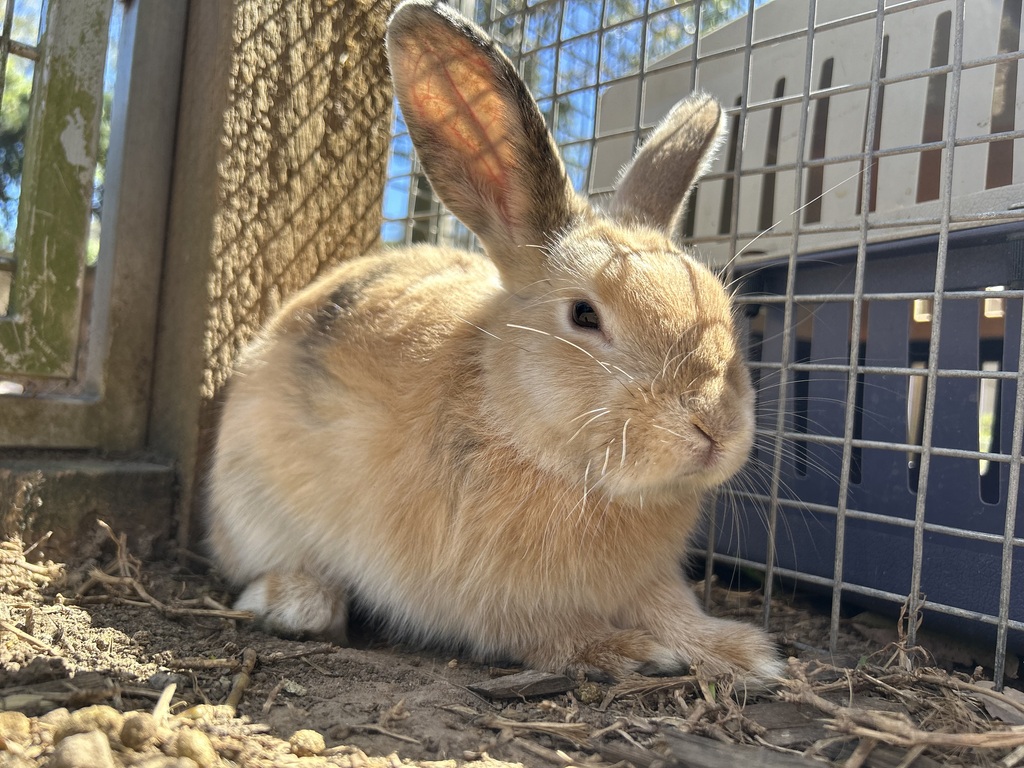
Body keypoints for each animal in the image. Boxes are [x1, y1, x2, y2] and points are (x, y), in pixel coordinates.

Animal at [206, 0, 781, 682]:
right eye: (584, 315)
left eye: (723, 306)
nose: (715, 430)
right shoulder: (480, 595)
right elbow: (537, 632)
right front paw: (621, 650)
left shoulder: (647, 580)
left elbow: (671, 609)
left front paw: (744, 652)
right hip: (252, 506)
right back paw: (299, 602)